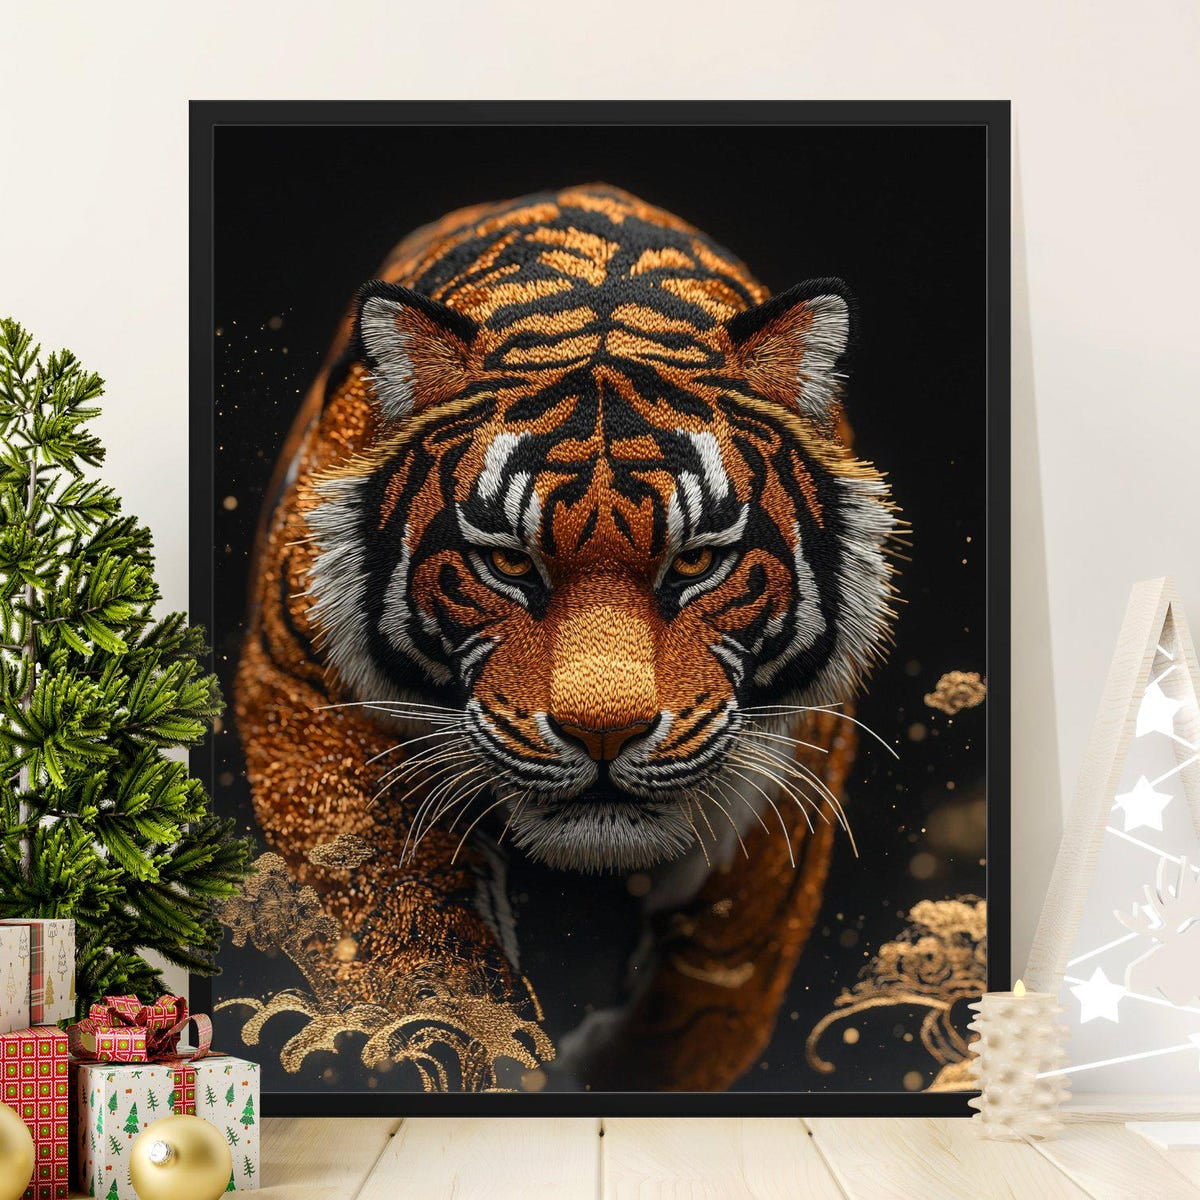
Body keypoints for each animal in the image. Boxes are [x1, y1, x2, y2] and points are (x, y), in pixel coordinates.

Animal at [234, 184, 899, 1091]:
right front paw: (455, 1032)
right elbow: (398, 910)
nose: (604, 731)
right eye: (510, 562)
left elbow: (708, 993)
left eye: (697, 559)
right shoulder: (296, 688)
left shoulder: (795, 765)